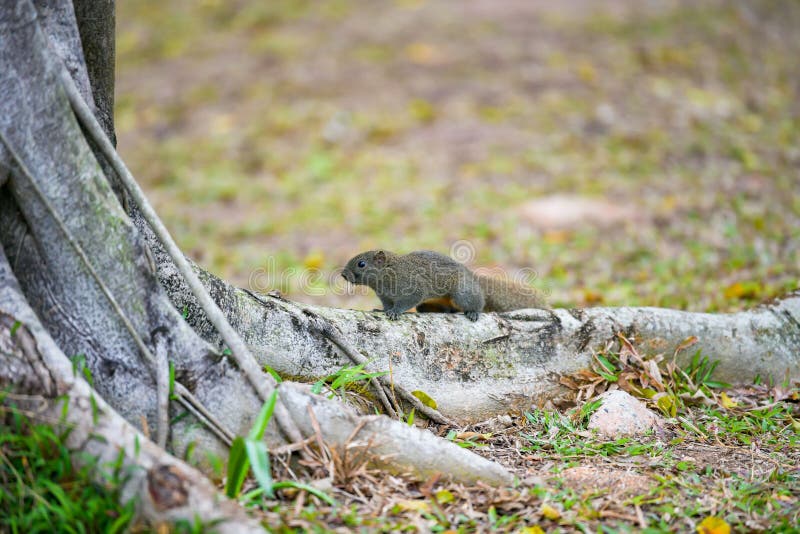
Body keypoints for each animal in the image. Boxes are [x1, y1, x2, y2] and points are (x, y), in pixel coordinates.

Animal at [341, 250, 546, 321]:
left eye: (361, 264)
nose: (343, 274)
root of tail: (472, 276)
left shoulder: (412, 287)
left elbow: (406, 301)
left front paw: (395, 312)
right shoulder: (385, 296)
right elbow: (386, 305)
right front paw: (382, 311)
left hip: (462, 293)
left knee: (477, 301)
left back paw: (473, 312)